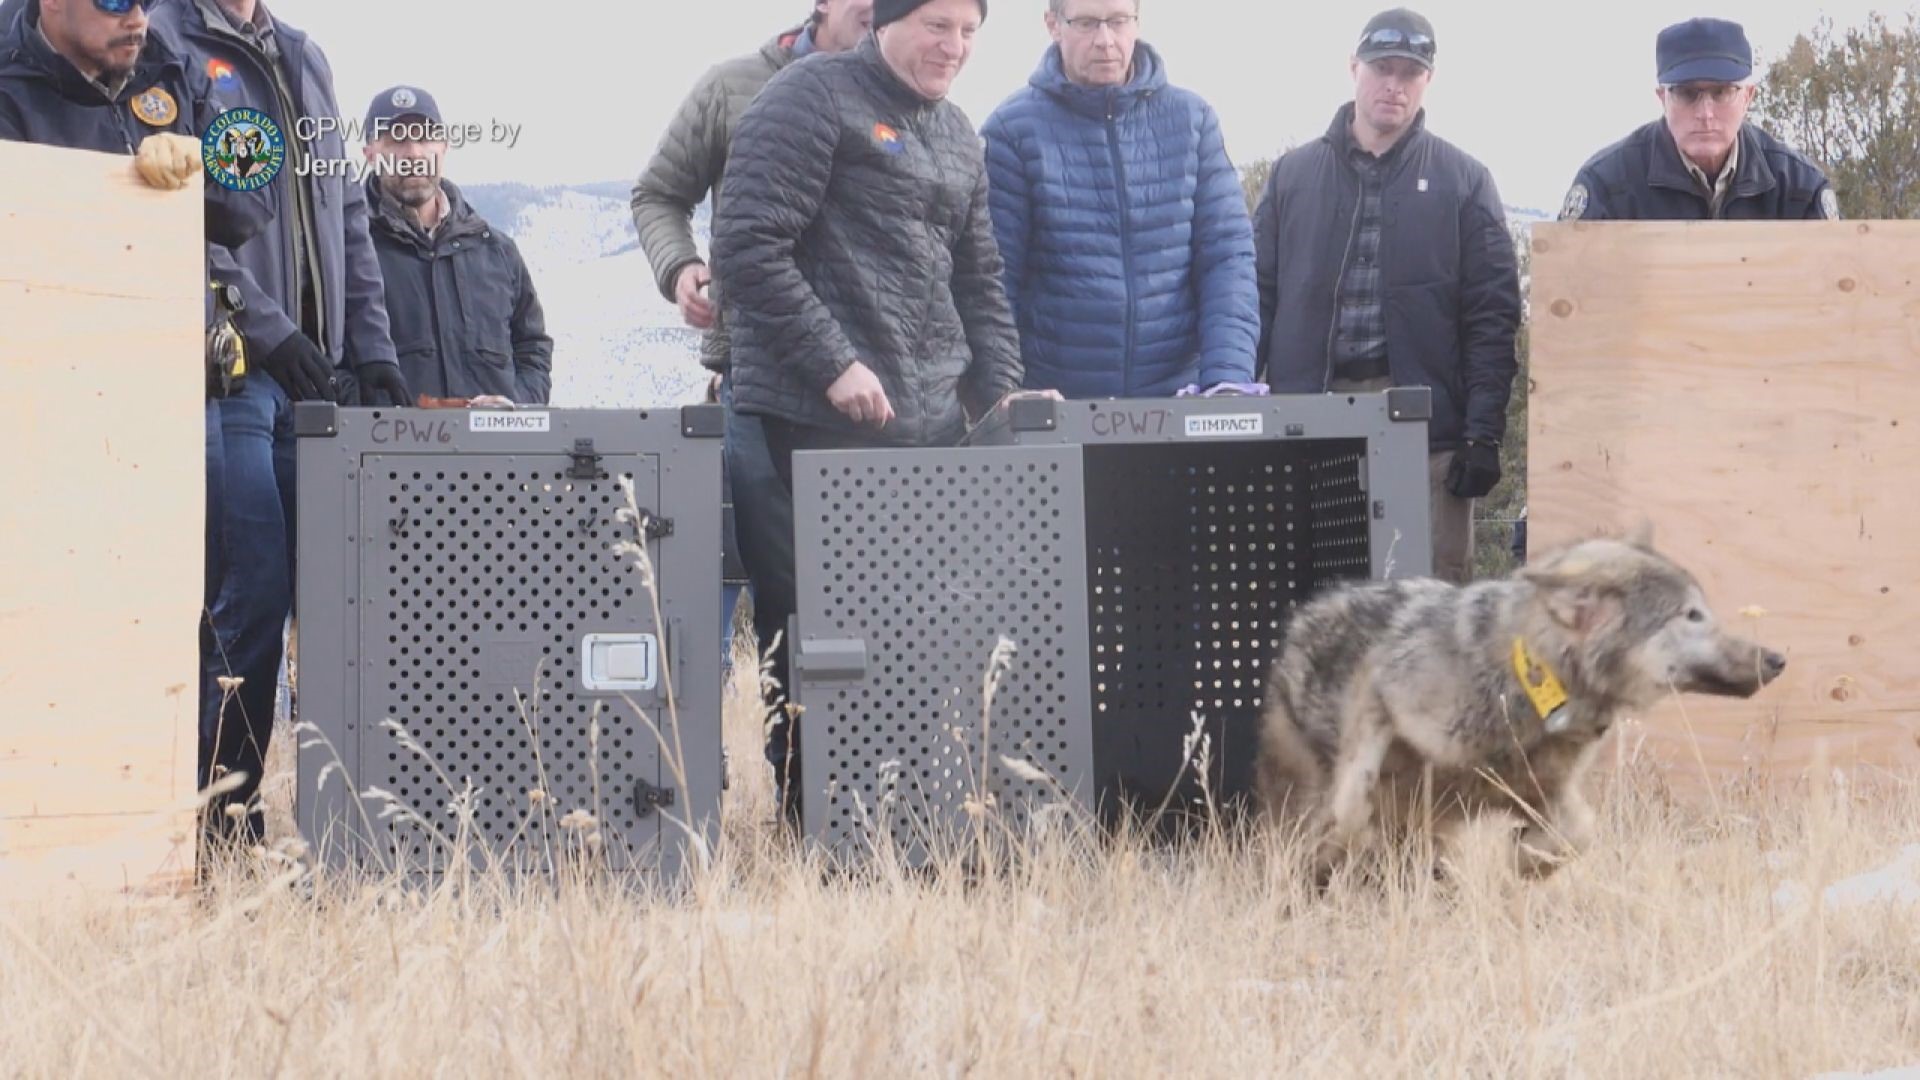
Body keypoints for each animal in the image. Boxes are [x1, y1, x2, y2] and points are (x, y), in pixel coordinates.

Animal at [1255, 529, 1787, 880]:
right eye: (1692, 616)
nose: (1778, 659)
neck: (1529, 681)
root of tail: (1306, 613)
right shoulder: (1380, 687)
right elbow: (1351, 802)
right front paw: (1335, 846)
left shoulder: (1544, 792)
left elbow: (1580, 833)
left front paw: (1527, 857)